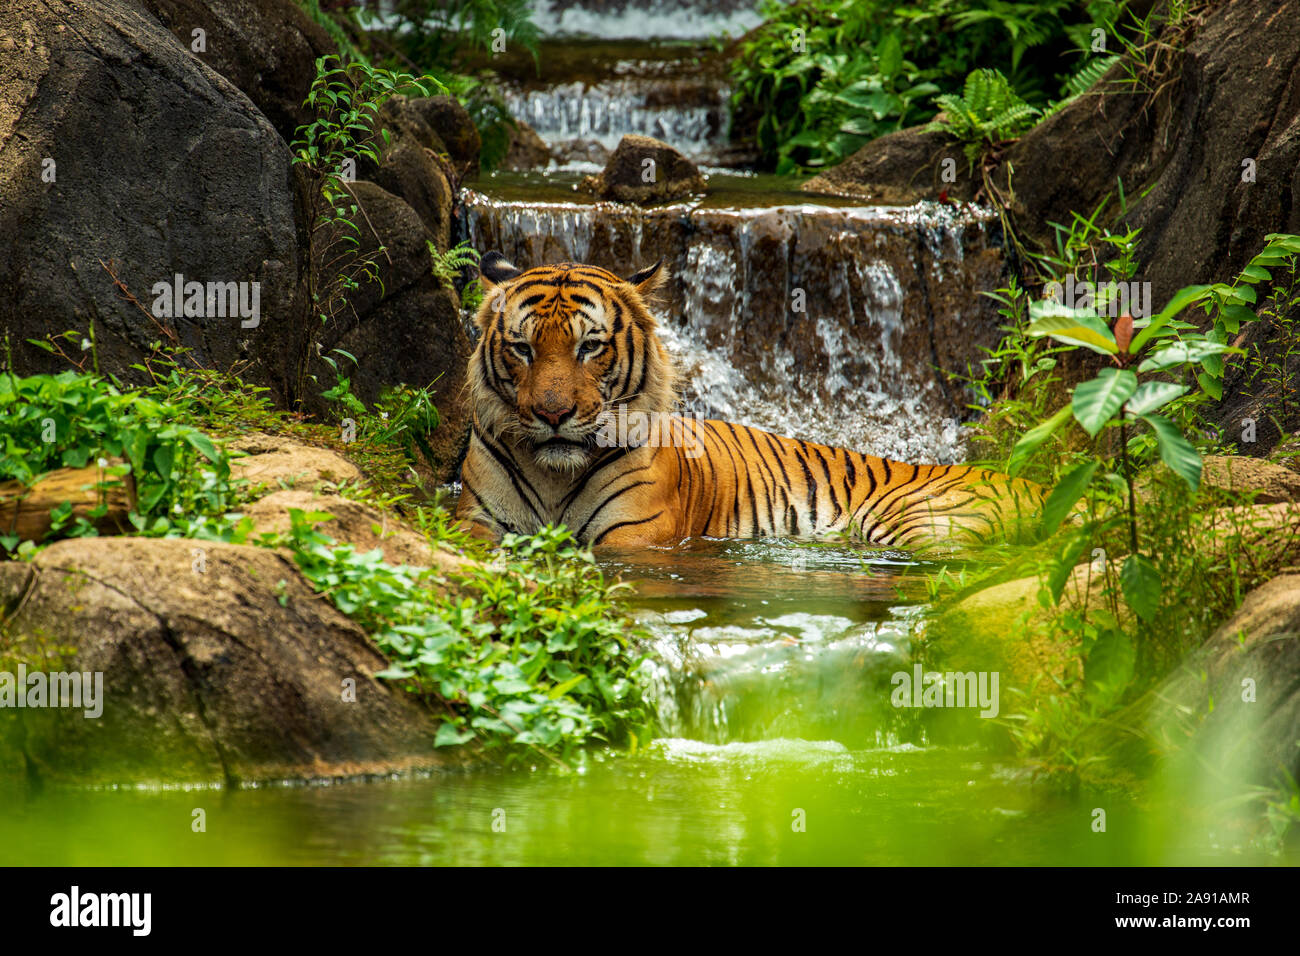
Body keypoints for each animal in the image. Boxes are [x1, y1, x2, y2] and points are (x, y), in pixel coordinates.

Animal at [456, 252, 1044, 550]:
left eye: (589, 347)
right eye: (523, 348)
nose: (552, 415)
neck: (555, 476)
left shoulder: (633, 534)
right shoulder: (477, 522)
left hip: (917, 521)